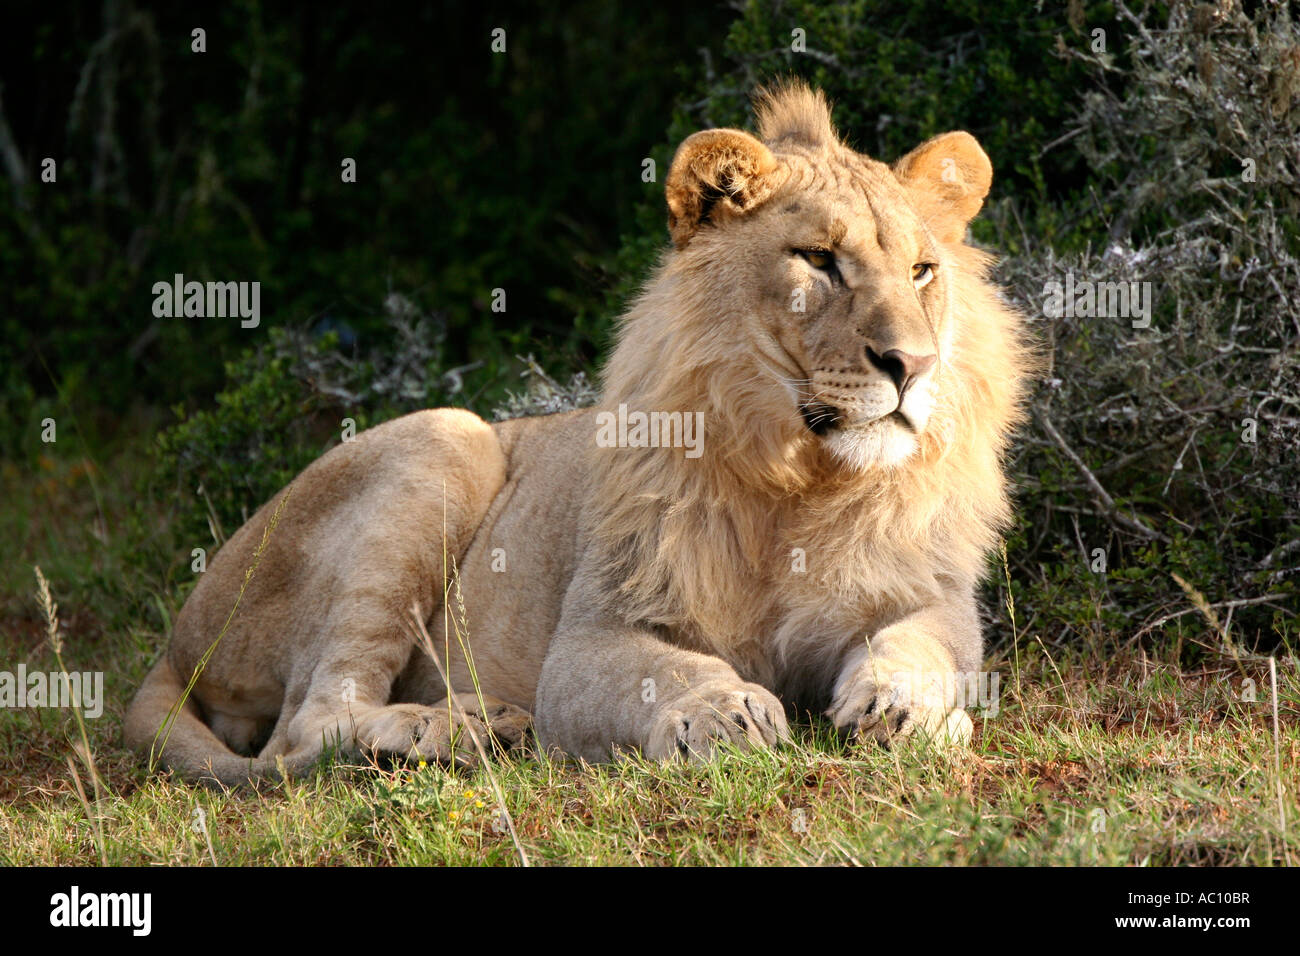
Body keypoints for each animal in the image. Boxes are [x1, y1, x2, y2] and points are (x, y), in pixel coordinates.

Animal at [125, 82, 1029, 785]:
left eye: (922, 270)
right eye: (818, 260)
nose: (911, 364)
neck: (799, 478)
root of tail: (171, 643)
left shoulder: (931, 594)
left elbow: (921, 646)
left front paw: (906, 711)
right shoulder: (591, 636)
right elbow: (665, 670)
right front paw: (720, 710)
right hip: (446, 439)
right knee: (302, 732)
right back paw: (446, 730)